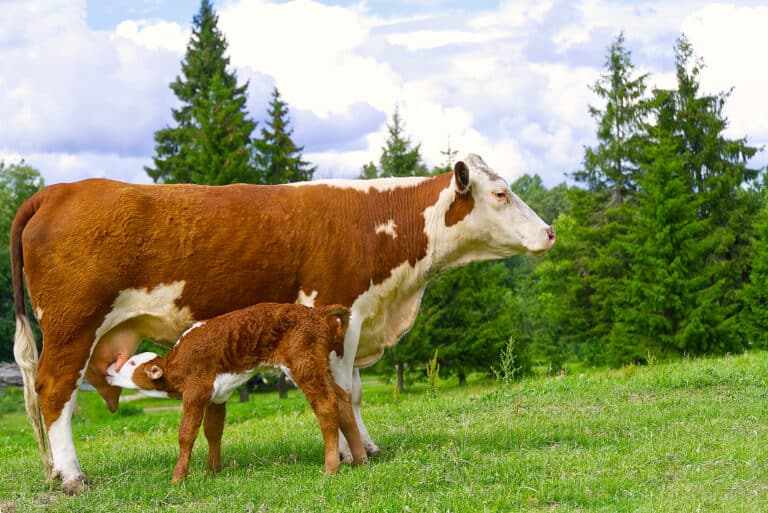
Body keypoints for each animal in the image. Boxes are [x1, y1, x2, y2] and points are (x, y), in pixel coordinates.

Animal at [105, 303, 368, 482]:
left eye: (131, 364)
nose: (109, 369)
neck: (177, 366)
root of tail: (316, 312)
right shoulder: (215, 394)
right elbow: (213, 430)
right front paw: (212, 472)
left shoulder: (195, 391)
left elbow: (186, 433)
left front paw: (178, 479)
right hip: (321, 366)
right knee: (342, 401)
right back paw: (361, 460)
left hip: (304, 365)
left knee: (326, 405)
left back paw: (331, 468)